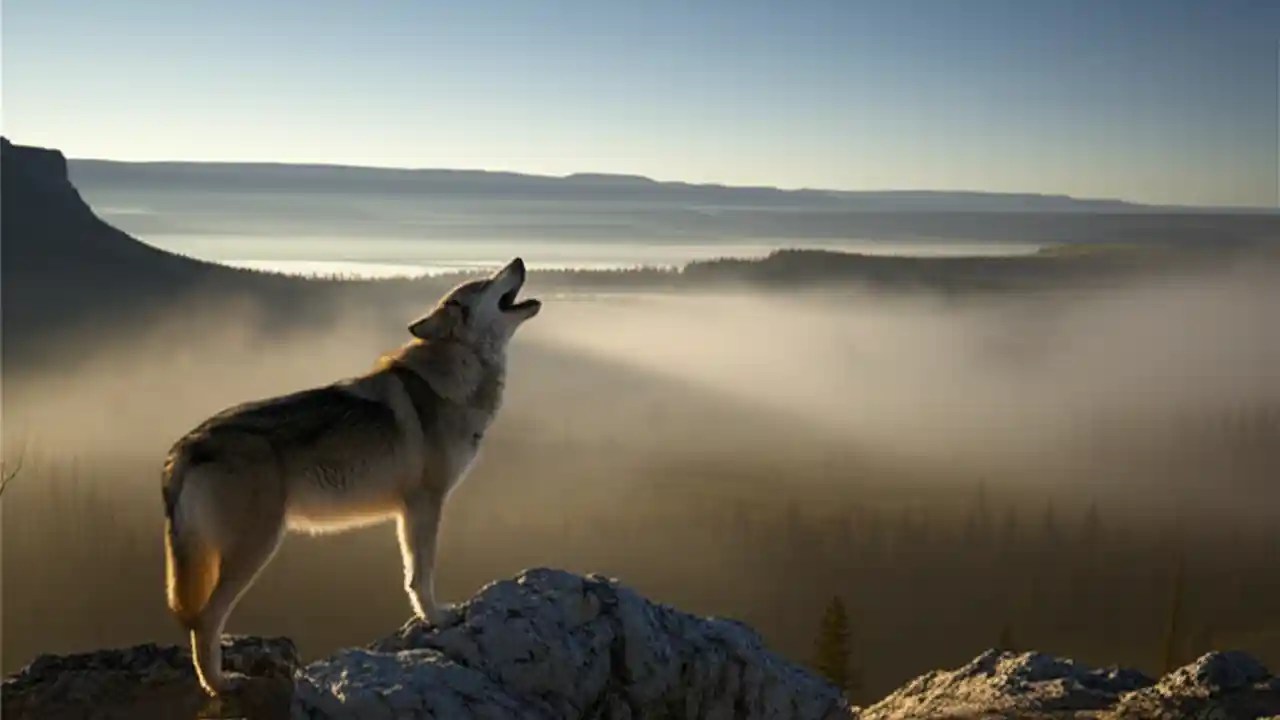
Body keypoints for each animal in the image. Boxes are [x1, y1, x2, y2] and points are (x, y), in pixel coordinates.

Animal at [161, 257, 540, 696]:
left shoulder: (407, 512)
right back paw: (220, 685)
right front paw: (437, 618)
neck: (454, 374)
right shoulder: (425, 503)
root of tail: (183, 448)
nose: (519, 260)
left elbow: (411, 573)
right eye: (484, 283)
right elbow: (422, 573)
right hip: (254, 548)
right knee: (205, 620)